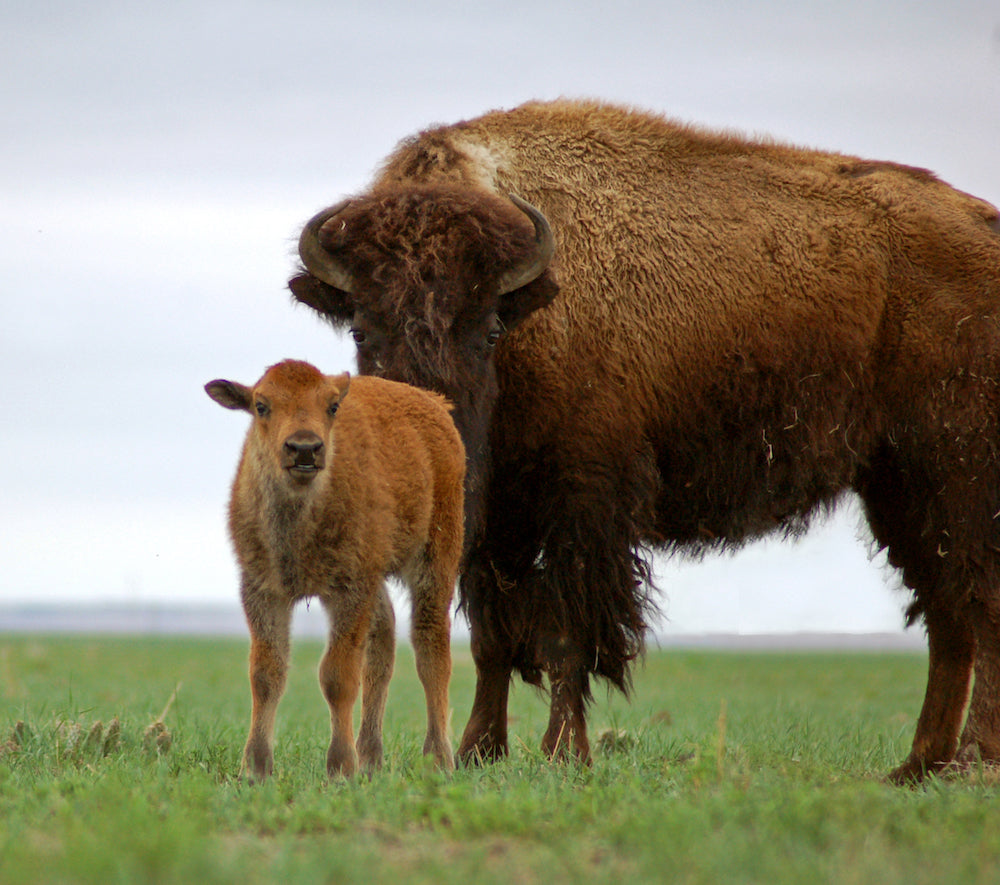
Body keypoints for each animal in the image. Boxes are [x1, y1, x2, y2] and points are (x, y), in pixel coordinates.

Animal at [289, 99, 1000, 782]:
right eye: (361, 330)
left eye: (489, 329)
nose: (427, 444)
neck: (533, 315)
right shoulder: (496, 524)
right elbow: (494, 638)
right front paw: (478, 753)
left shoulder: (583, 508)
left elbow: (568, 633)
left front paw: (564, 754)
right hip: (898, 484)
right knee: (946, 614)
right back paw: (916, 766)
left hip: (955, 471)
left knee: (977, 601)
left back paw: (971, 762)